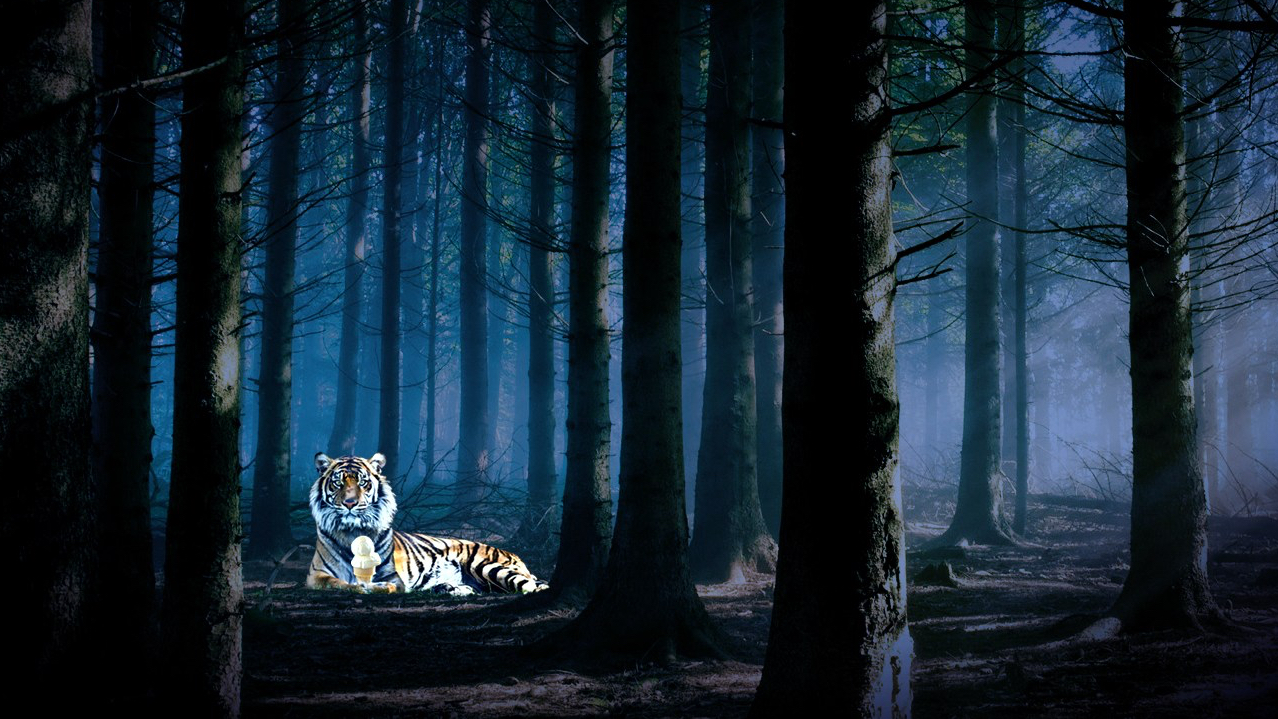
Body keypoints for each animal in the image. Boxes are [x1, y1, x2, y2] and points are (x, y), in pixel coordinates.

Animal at [306, 452, 549, 596]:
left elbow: (384, 585)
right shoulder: (315, 575)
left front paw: (377, 587)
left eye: (363, 483)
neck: (354, 533)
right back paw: (449, 588)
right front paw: (360, 586)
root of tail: (515, 555)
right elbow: (340, 584)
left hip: (489, 566)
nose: (350, 503)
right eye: (338, 483)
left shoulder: (395, 577)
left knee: (532, 586)